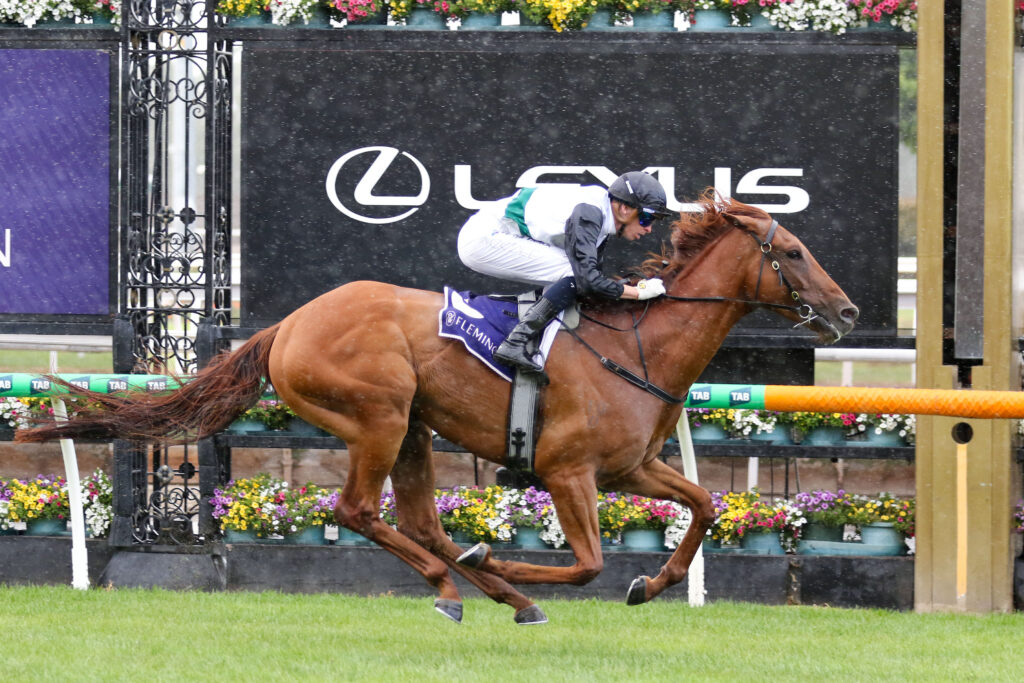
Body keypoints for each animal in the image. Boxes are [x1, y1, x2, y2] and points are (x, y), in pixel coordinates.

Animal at [18, 193, 858, 624]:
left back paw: (486, 587)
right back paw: (466, 583)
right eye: (793, 254)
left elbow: (706, 503)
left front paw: (651, 584)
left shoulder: (632, 467)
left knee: (419, 521)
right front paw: (504, 560)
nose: (846, 310)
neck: (639, 343)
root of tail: (286, 326)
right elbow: (587, 562)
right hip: (379, 416)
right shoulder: (567, 471)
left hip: (414, 427)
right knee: (361, 511)